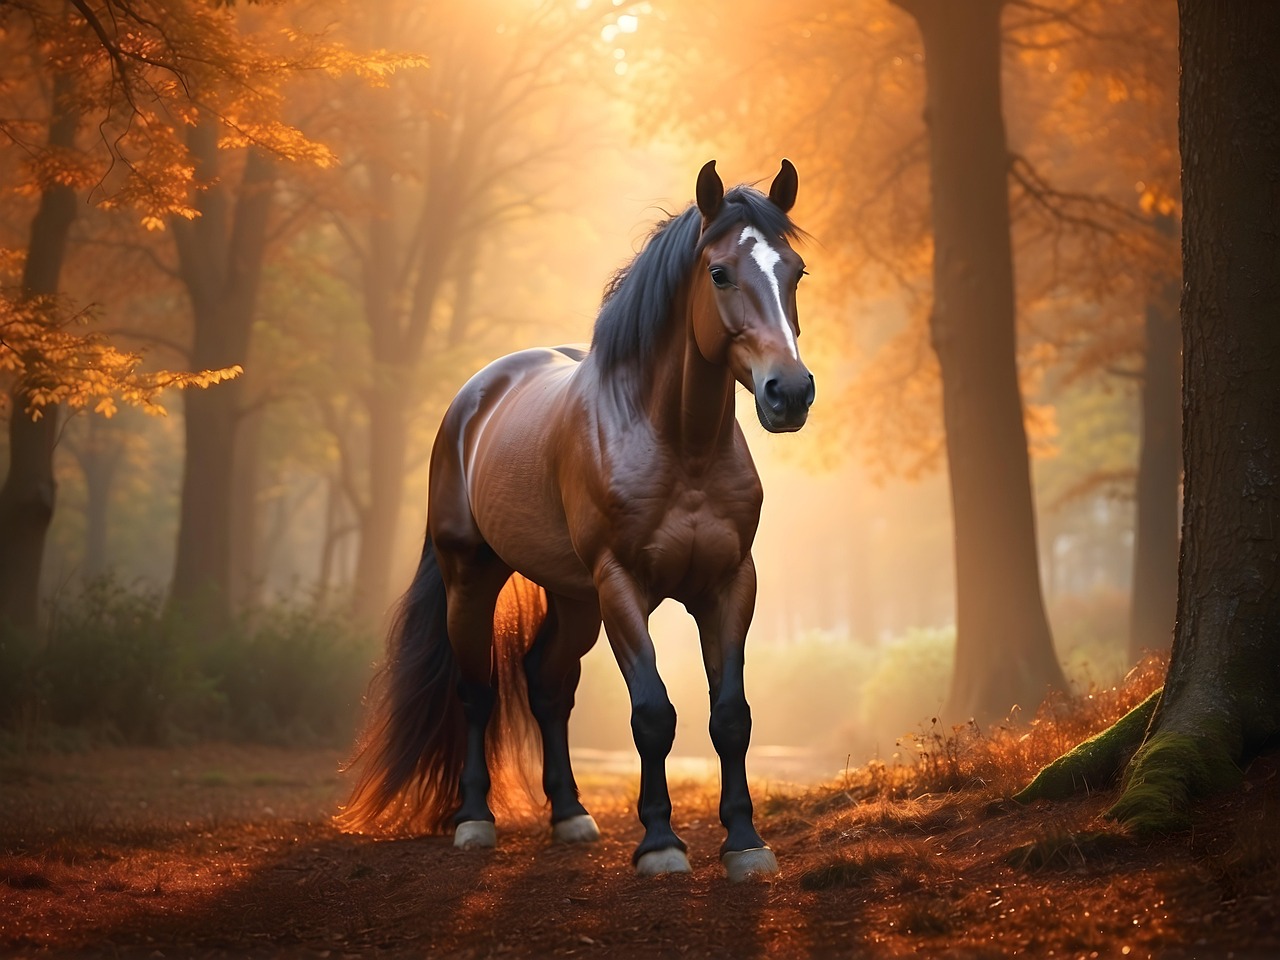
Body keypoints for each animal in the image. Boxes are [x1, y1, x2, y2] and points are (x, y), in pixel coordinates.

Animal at [339, 160, 815, 882]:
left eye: (795, 271)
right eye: (720, 273)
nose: (789, 392)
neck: (679, 444)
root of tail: (472, 400)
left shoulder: (730, 583)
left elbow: (730, 715)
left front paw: (745, 842)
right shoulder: (622, 586)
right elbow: (652, 713)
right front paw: (660, 844)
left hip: (573, 600)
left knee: (546, 683)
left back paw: (569, 813)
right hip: (473, 580)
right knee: (477, 690)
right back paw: (475, 819)